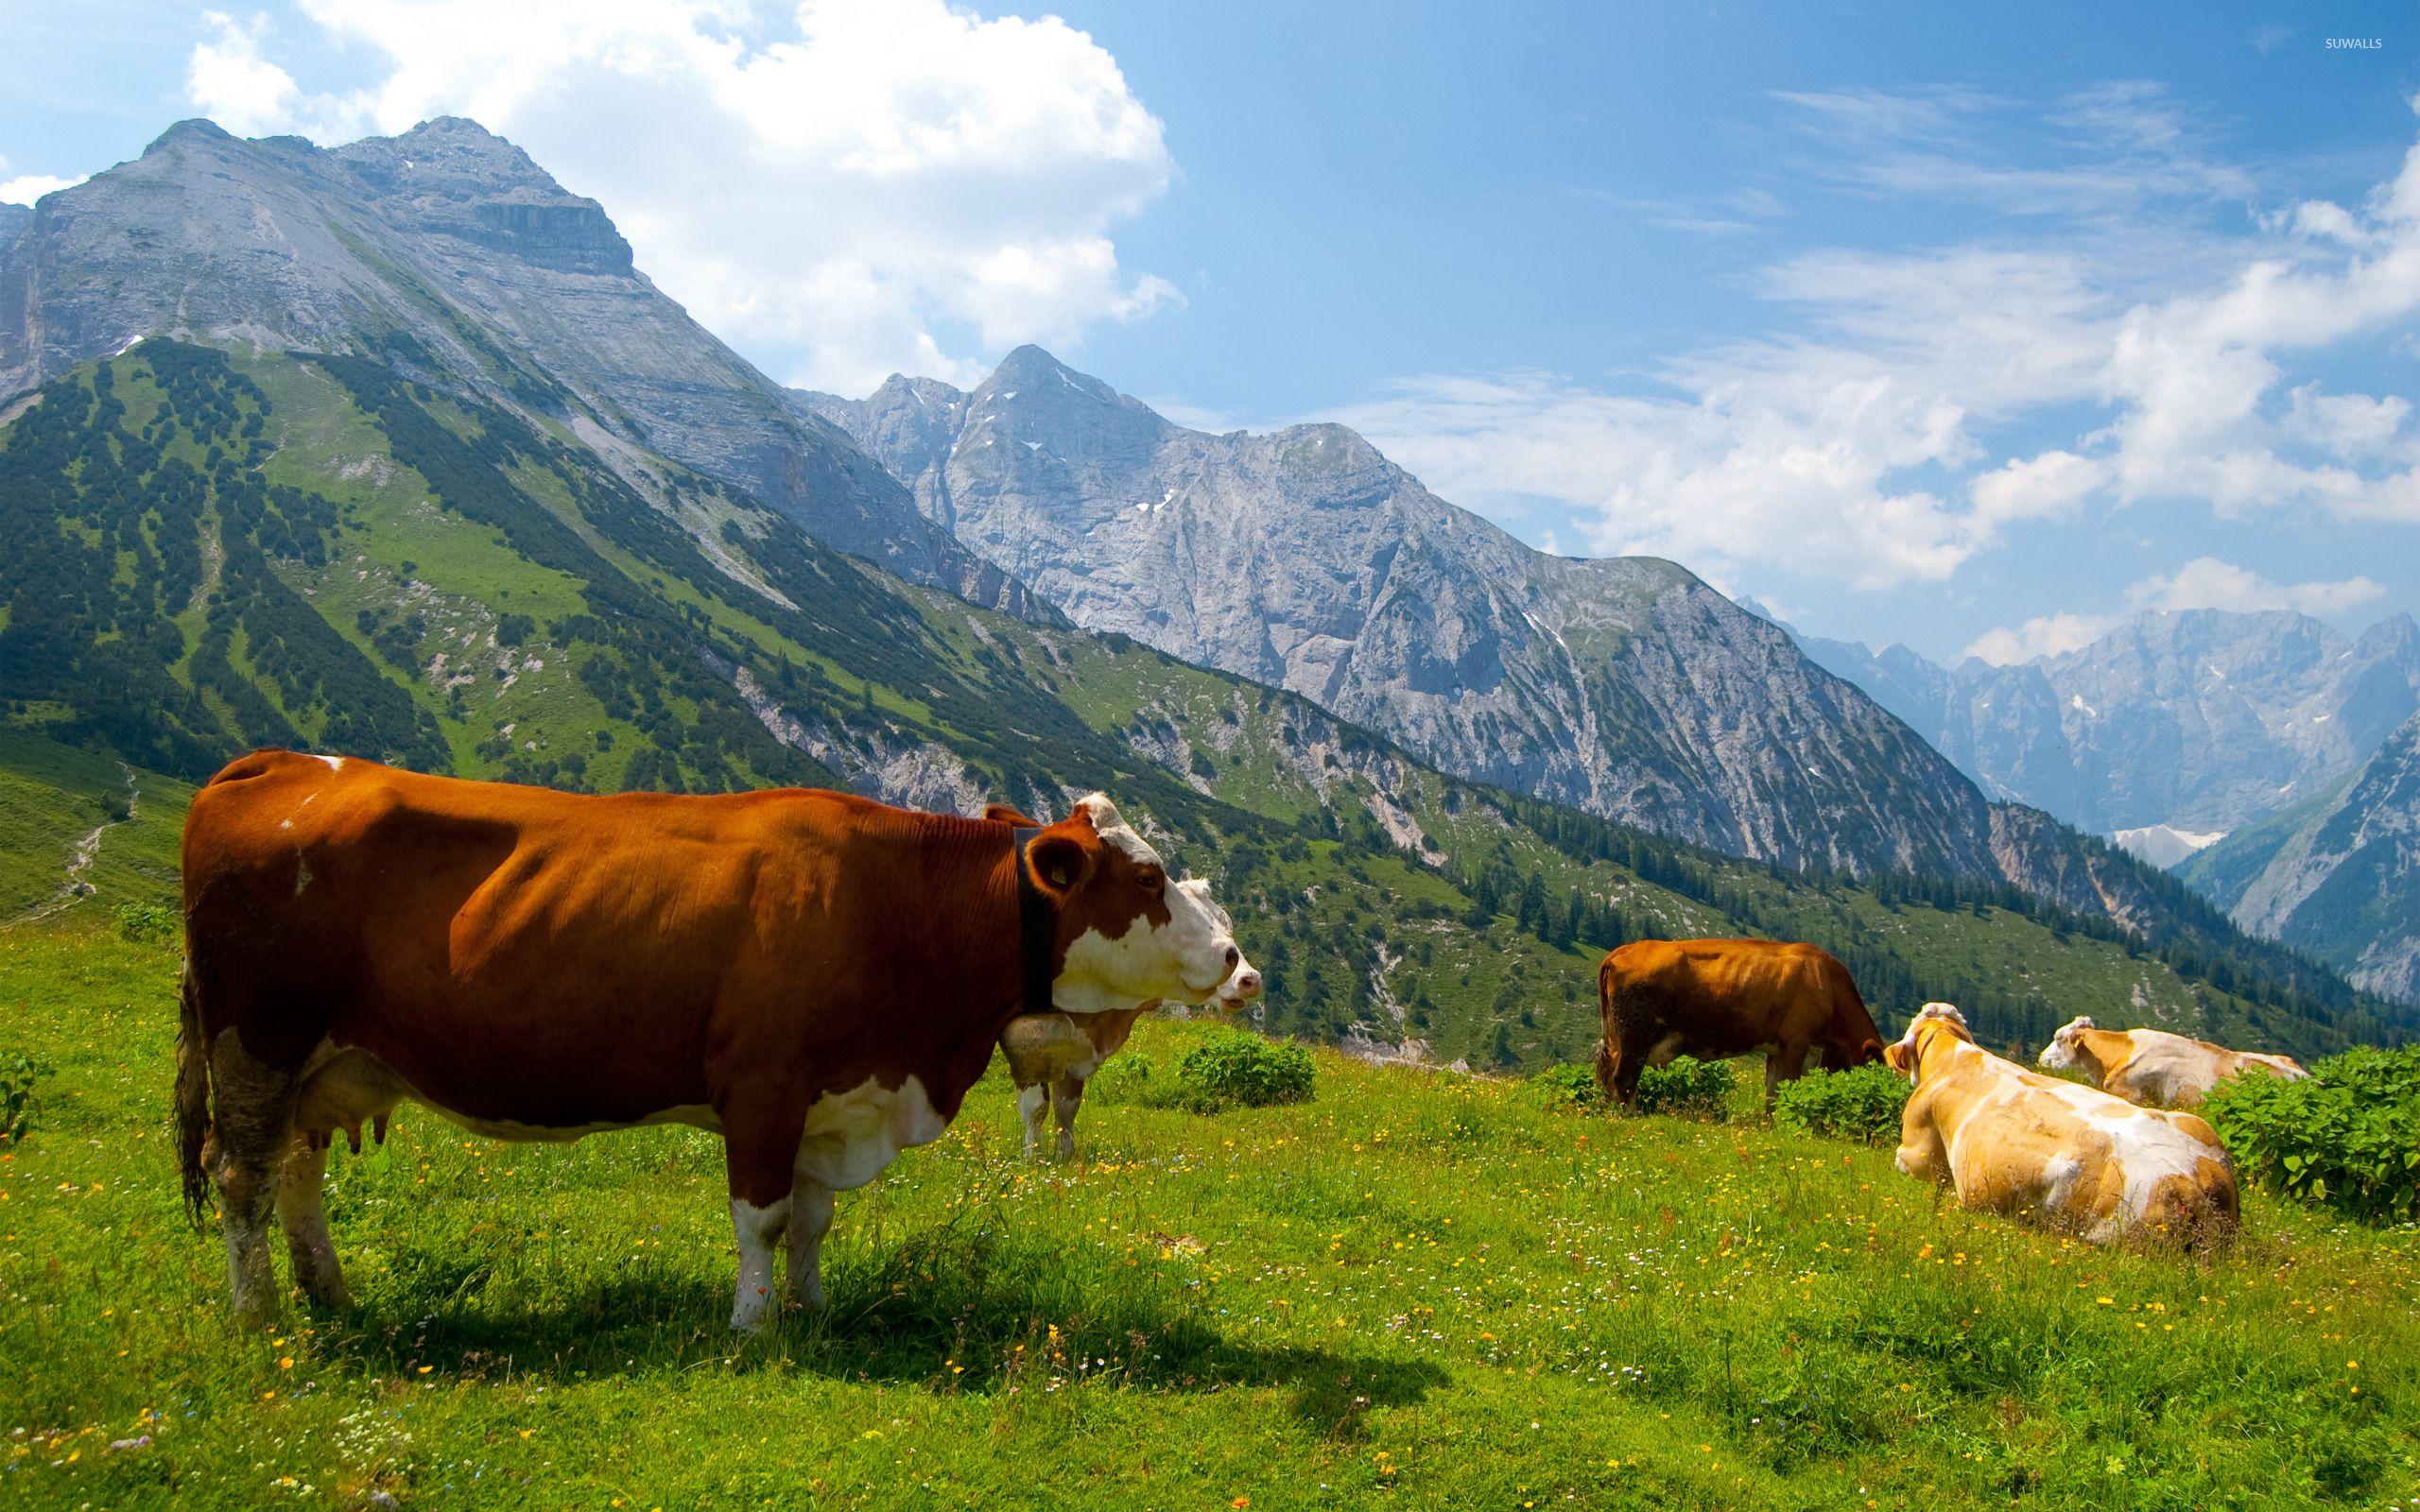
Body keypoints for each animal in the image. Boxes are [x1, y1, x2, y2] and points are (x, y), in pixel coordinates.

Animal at [173, 751, 1243, 1332]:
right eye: (1149, 879)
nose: (1235, 957)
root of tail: (275, 764)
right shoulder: (763, 1084)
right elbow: (760, 1219)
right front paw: (753, 1324)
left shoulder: (832, 1094)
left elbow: (813, 1220)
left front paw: (813, 1311)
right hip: (257, 1040)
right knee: (241, 1175)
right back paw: (259, 1315)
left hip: (322, 1062)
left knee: (296, 1172)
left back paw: (329, 1294)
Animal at [1593, 938, 1884, 1109]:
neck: (1828, 986)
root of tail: (1624, 949)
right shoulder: (1796, 1042)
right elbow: (1788, 1085)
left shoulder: (1778, 1049)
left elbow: (1772, 1091)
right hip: (1635, 1038)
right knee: (1624, 1078)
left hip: (1616, 1038)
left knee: (1608, 1076)